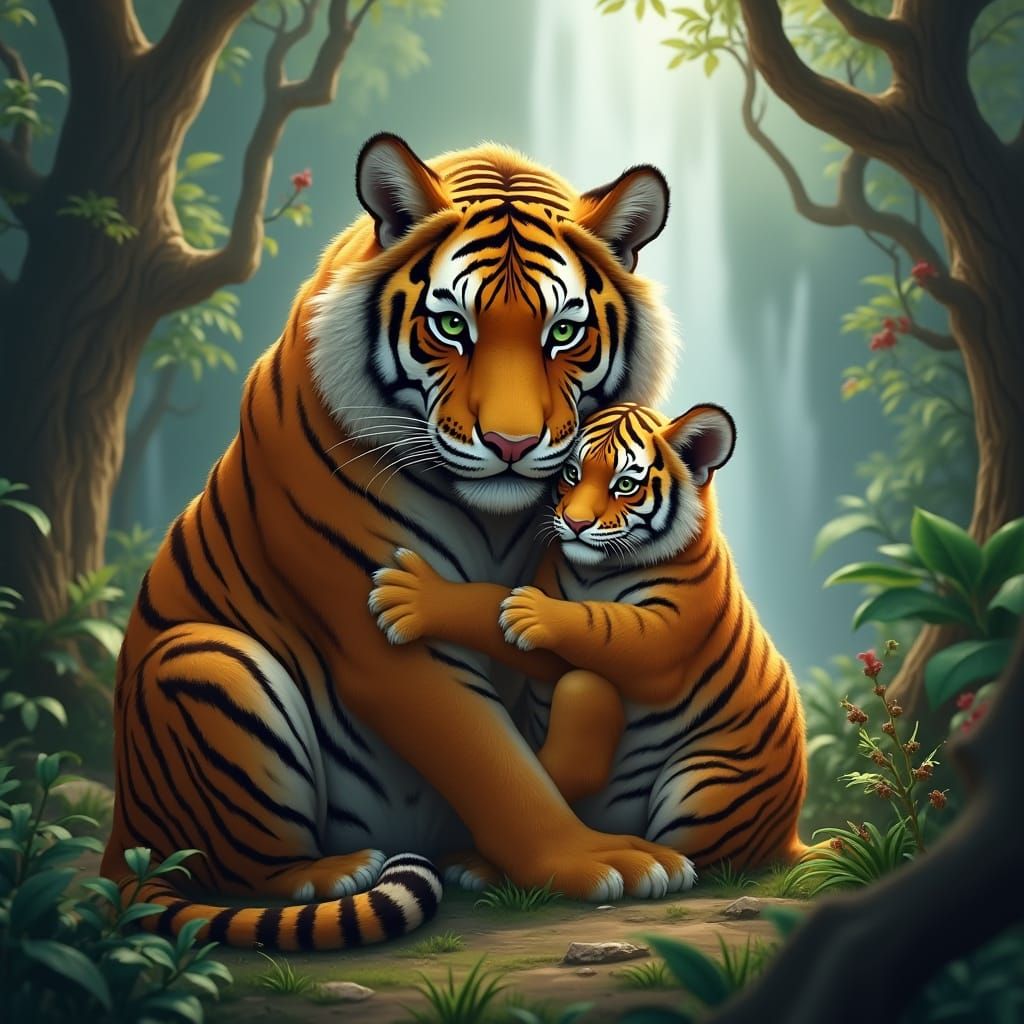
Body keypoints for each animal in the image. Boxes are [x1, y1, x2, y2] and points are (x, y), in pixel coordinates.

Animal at [101, 133, 694, 951]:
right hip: (207, 661)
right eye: (452, 328)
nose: (512, 446)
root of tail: (115, 835)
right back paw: (335, 870)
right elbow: (493, 763)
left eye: (564, 333)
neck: (497, 518)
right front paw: (598, 859)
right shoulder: (379, 638)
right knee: (238, 867)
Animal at [369, 401, 808, 871]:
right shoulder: (553, 644)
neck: (595, 570)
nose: (575, 523)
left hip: (699, 788)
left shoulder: (664, 638)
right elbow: (516, 622)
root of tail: (787, 837)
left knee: (697, 858)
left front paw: (512, 609)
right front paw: (418, 594)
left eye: (626, 485)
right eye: (572, 473)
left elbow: (600, 624)